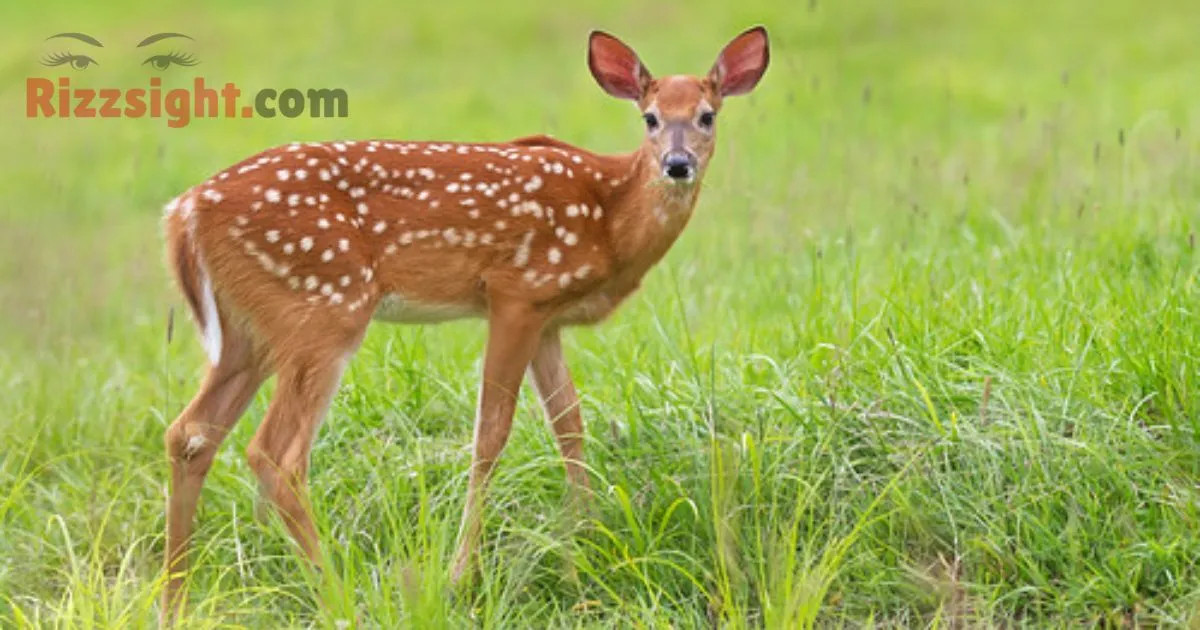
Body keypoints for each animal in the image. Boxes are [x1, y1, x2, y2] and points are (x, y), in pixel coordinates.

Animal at [159, 26, 769, 621]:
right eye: (650, 117)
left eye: (707, 115)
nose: (678, 164)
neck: (609, 218)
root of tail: (184, 212)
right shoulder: (515, 292)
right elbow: (491, 434)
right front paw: (460, 578)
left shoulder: (548, 318)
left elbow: (569, 422)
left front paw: (586, 544)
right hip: (324, 308)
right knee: (274, 453)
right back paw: (336, 595)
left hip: (250, 332)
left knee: (190, 434)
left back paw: (175, 602)